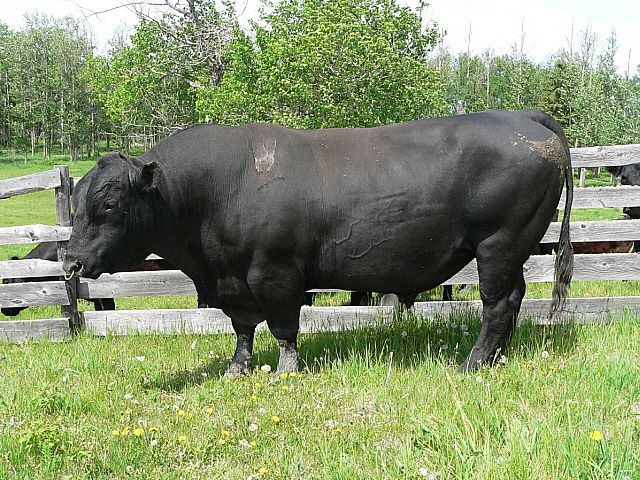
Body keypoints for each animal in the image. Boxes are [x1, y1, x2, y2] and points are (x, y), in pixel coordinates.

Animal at [62, 109, 573, 374]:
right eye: (80, 197)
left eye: (109, 203)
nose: (70, 261)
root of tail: (523, 115)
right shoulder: (233, 281)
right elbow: (242, 328)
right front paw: (237, 369)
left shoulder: (274, 272)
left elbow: (283, 327)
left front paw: (286, 371)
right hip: (510, 249)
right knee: (512, 300)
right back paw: (495, 359)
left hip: (499, 245)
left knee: (498, 302)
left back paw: (474, 363)